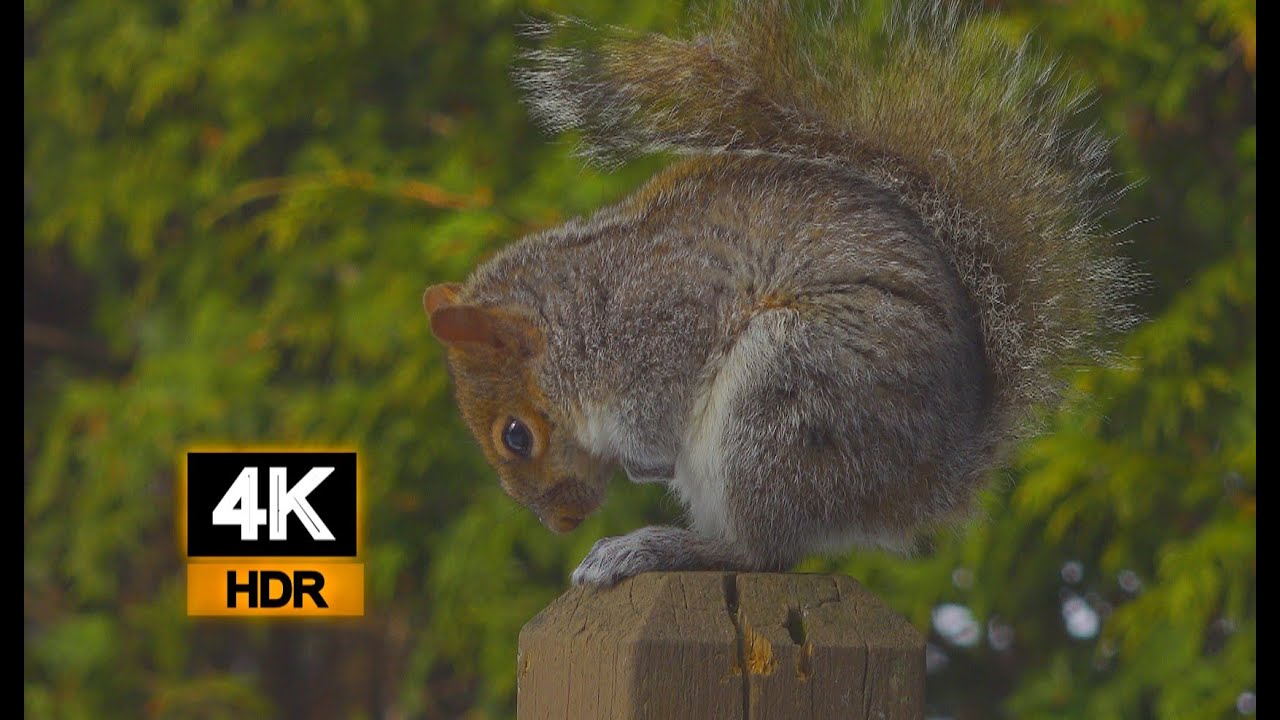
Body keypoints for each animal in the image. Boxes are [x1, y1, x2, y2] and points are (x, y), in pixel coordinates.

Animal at [423, 0, 1135, 586]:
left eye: (516, 437)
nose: (564, 524)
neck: (578, 311)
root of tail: (927, 477)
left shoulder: (661, 325)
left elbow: (653, 416)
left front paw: (642, 462)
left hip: (789, 391)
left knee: (764, 553)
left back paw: (655, 548)